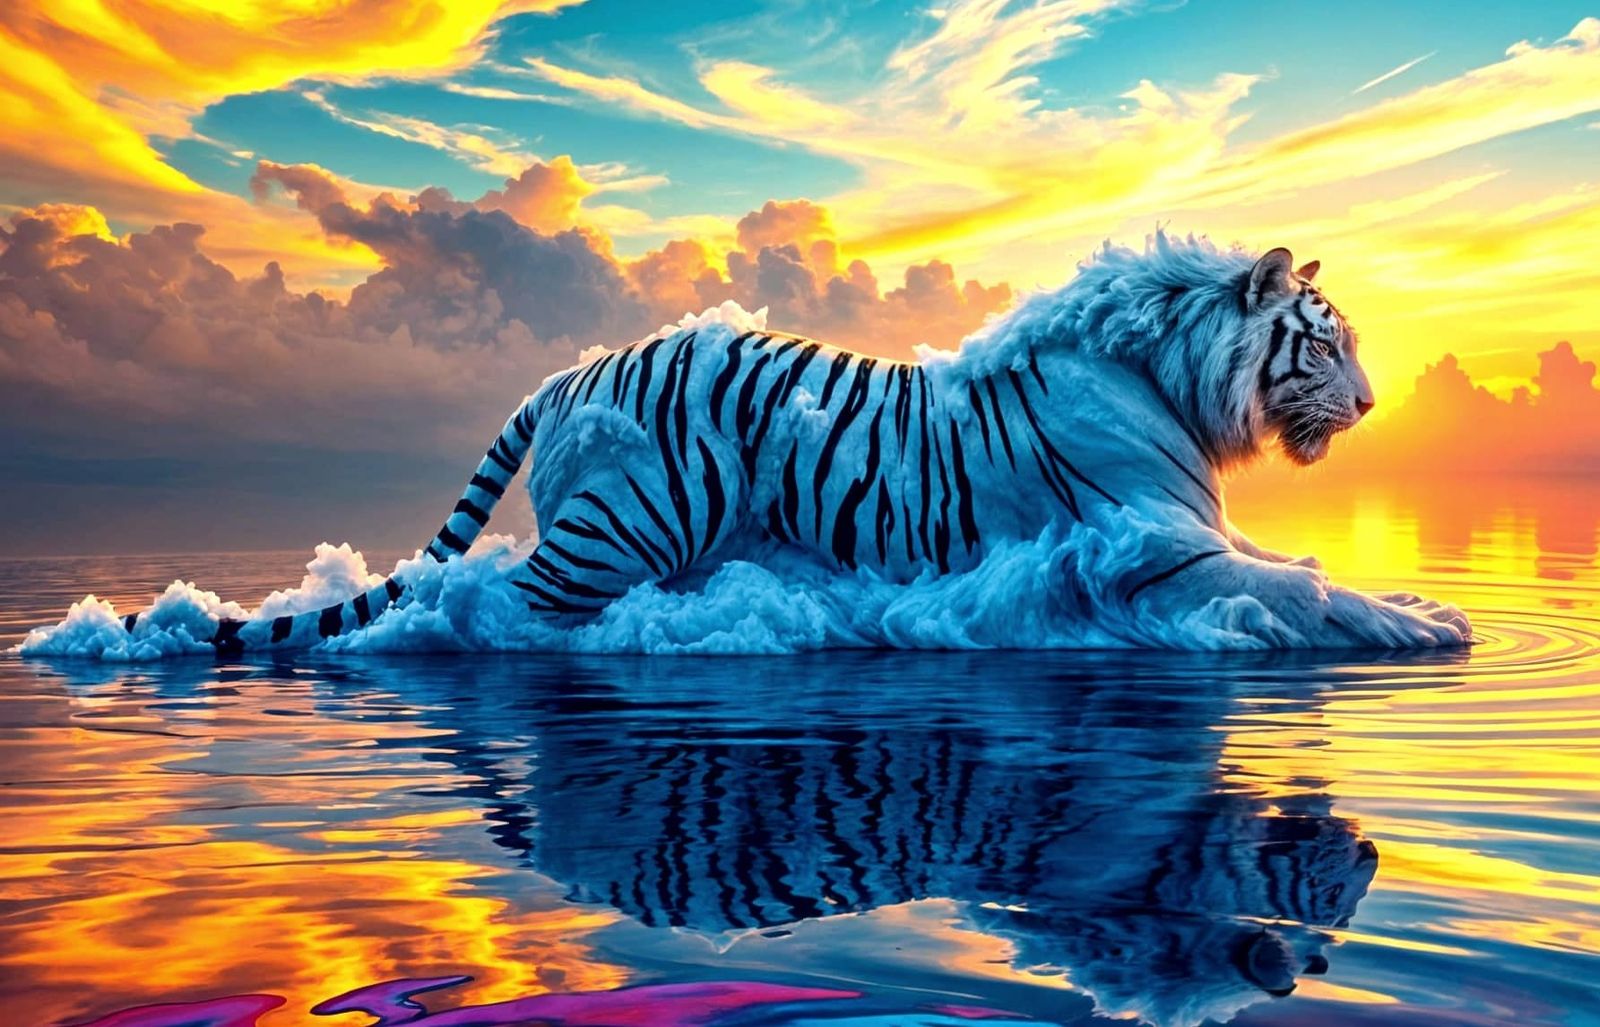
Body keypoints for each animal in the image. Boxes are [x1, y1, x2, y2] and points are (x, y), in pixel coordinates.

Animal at [115, 232, 1469, 653]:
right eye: (1325, 342)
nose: (1368, 407)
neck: (1173, 375)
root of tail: (564, 370)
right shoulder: (1163, 547)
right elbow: (1303, 588)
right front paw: (1426, 627)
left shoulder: (1186, 539)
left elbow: (1305, 572)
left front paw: (1418, 602)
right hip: (619, 525)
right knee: (482, 612)